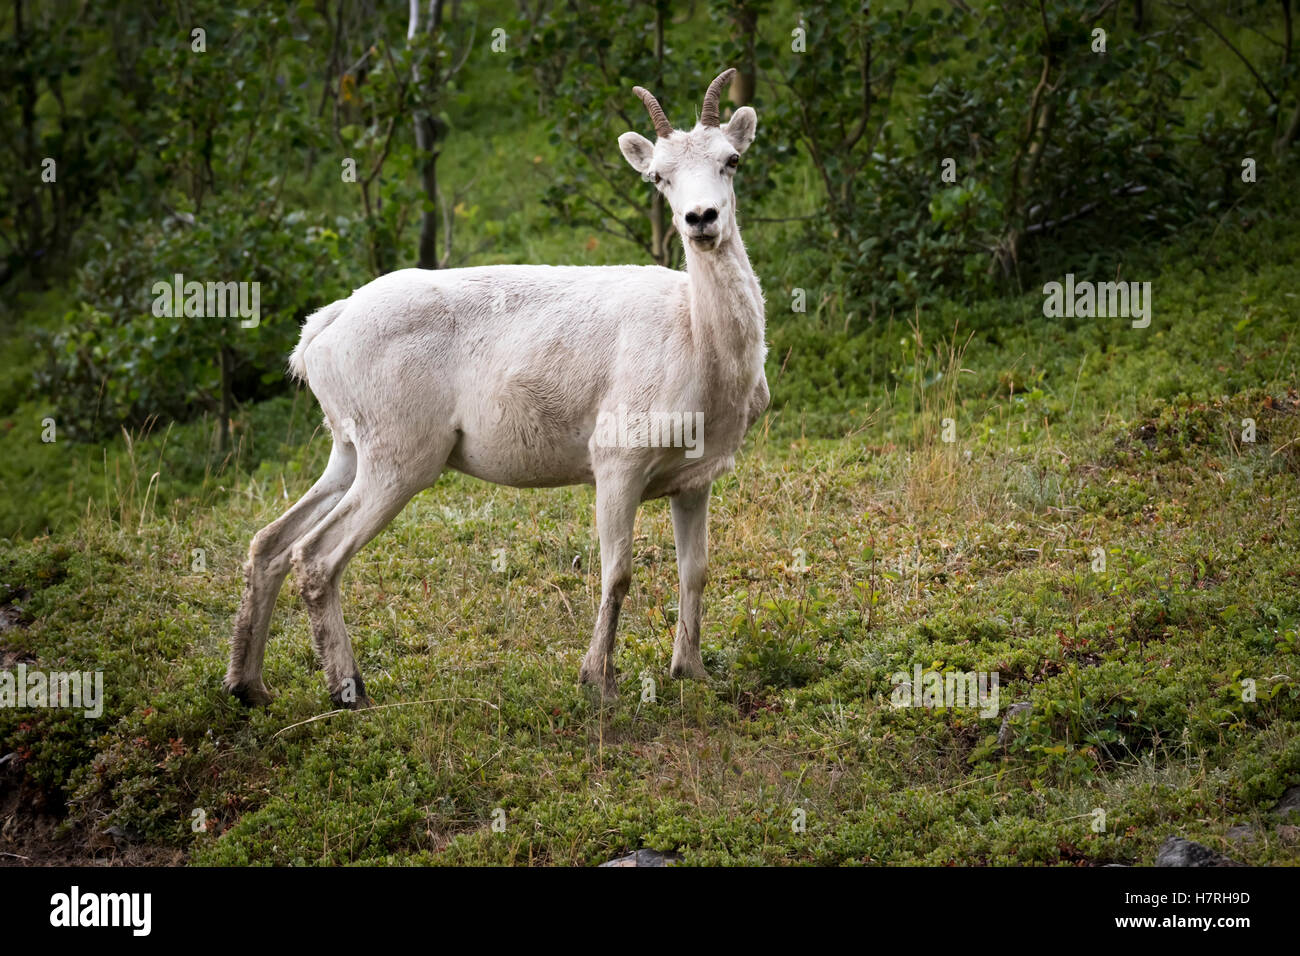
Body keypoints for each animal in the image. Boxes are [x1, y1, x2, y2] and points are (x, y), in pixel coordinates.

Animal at [224, 69, 769, 708]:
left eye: (731, 159)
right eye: (658, 176)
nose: (701, 219)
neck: (701, 353)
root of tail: (317, 336)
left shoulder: (695, 478)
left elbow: (696, 570)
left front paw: (693, 671)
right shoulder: (616, 459)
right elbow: (618, 573)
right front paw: (598, 682)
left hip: (348, 449)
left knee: (270, 542)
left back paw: (249, 687)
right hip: (401, 455)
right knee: (315, 555)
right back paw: (348, 690)